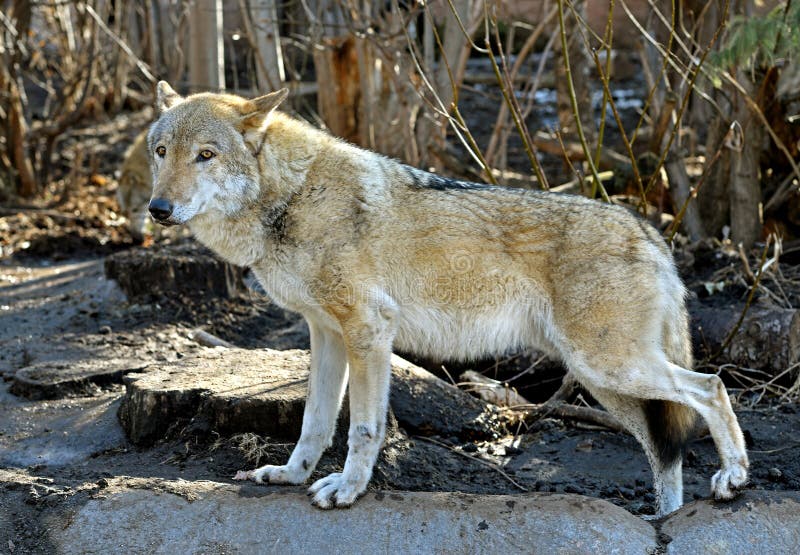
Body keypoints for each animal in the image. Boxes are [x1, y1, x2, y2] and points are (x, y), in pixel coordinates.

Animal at [146, 81, 748, 516]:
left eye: (205, 155)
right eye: (161, 152)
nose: (157, 209)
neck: (291, 197)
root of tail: (650, 232)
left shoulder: (369, 331)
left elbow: (363, 428)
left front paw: (347, 490)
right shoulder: (327, 335)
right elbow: (314, 423)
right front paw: (292, 476)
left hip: (610, 368)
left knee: (712, 387)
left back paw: (733, 477)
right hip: (606, 383)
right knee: (665, 446)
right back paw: (665, 520)